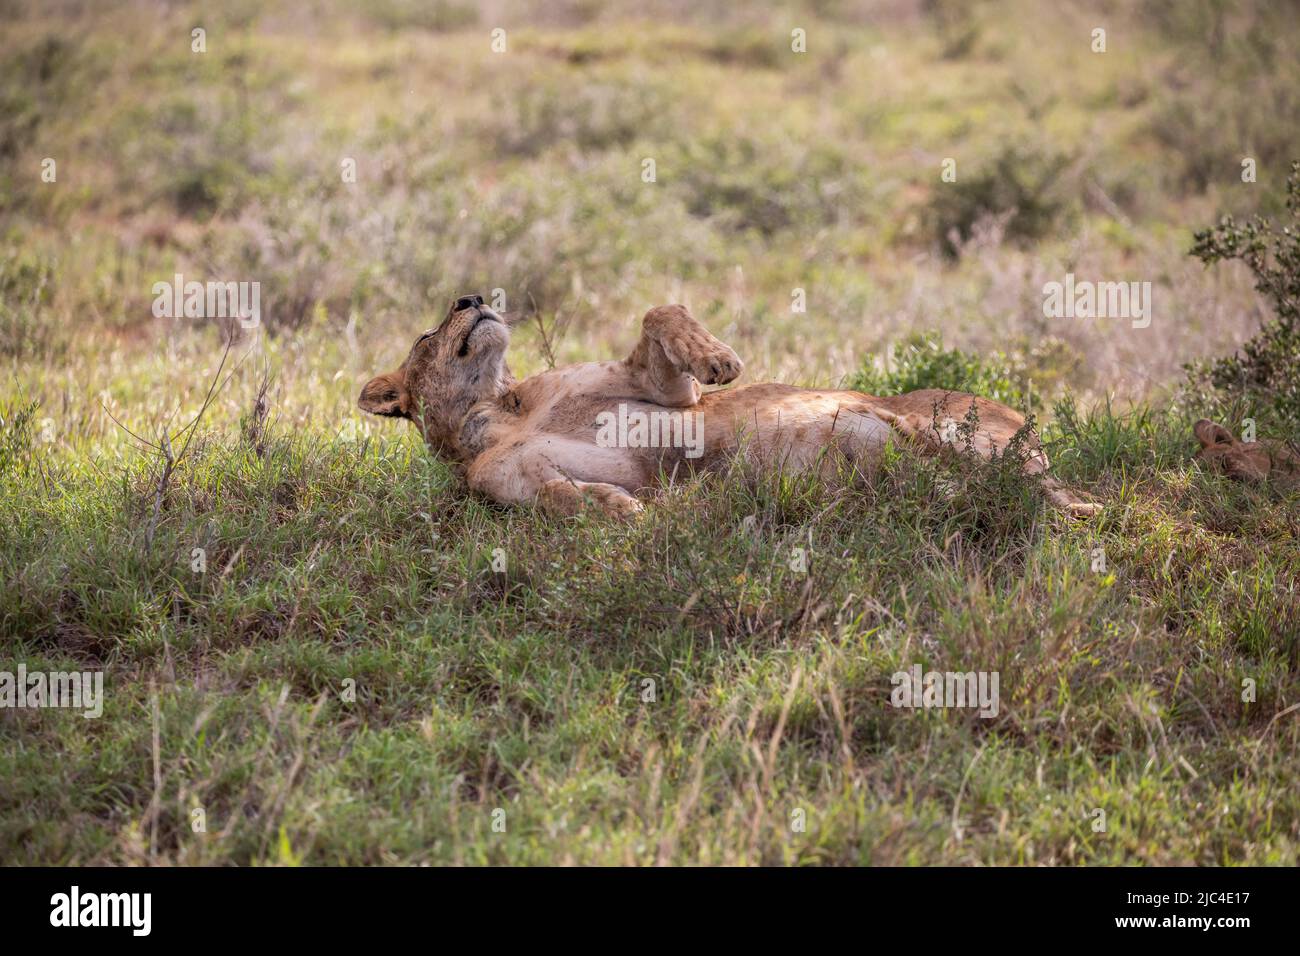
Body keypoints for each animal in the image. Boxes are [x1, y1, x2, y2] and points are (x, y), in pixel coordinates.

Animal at [359, 295, 1101, 518]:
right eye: (426, 336)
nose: (471, 297)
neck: (500, 409)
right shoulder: (506, 481)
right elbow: (558, 496)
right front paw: (617, 510)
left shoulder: (664, 392)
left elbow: (660, 313)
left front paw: (720, 359)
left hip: (950, 427)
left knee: (1046, 488)